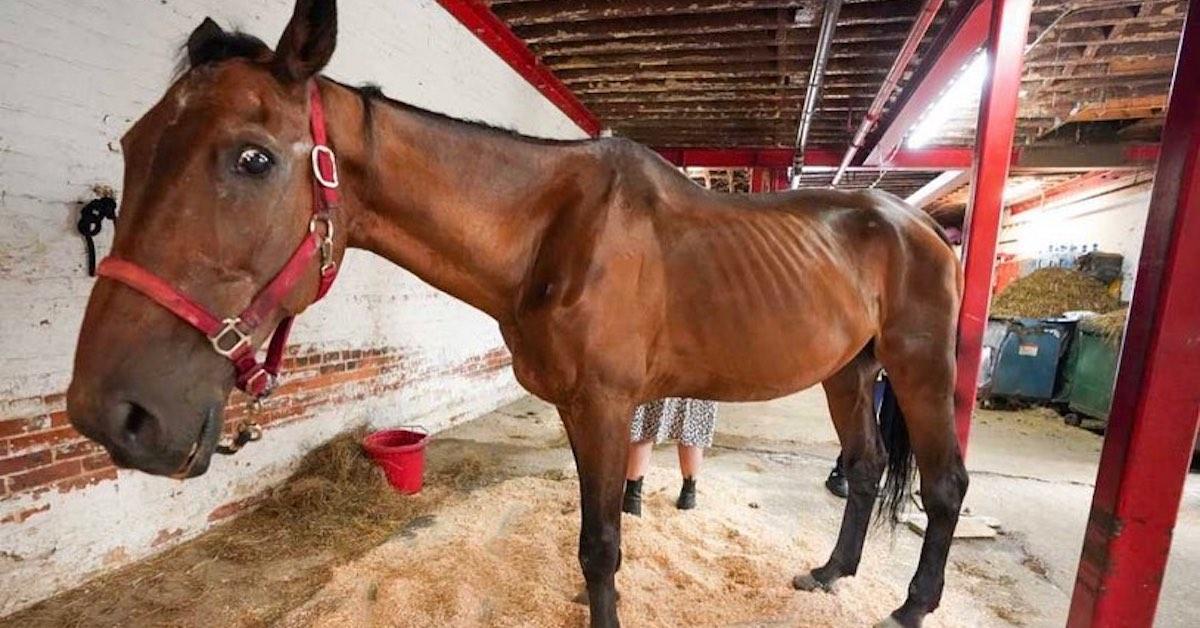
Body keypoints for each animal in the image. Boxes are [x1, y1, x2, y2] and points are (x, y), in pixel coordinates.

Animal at [66, 1, 967, 626]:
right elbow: (591, 541)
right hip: (849, 371)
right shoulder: (575, 408)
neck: (556, 231)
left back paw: (912, 605)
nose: (113, 414)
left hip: (918, 367)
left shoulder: (605, 405)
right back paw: (830, 574)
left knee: (945, 484)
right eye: (132, 145)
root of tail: (921, 223)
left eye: (253, 158)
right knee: (865, 469)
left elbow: (601, 545)